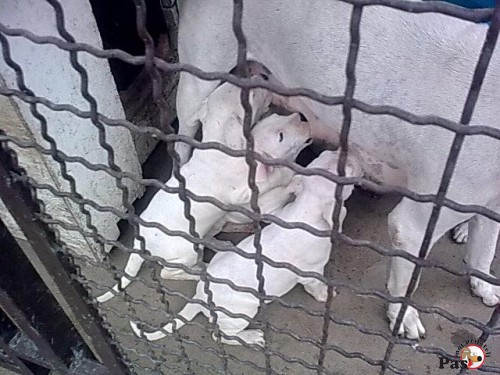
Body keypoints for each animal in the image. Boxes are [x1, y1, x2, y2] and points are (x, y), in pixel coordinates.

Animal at [95, 113, 310, 304]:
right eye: (281, 136)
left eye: (276, 116)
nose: (302, 116)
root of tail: (141, 241)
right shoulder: (240, 192)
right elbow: (270, 181)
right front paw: (289, 178)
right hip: (184, 251)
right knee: (168, 272)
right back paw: (202, 271)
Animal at [131, 150, 362, 346]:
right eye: (348, 170)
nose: (352, 152)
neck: (306, 209)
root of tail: (200, 298)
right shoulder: (310, 274)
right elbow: (317, 287)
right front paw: (326, 295)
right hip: (241, 312)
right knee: (221, 335)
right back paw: (251, 337)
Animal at [173, 0, 500, 340]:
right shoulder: (416, 221)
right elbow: (407, 278)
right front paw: (404, 320)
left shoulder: (492, 202)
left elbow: (485, 249)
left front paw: (486, 289)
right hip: (198, 77)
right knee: (183, 138)